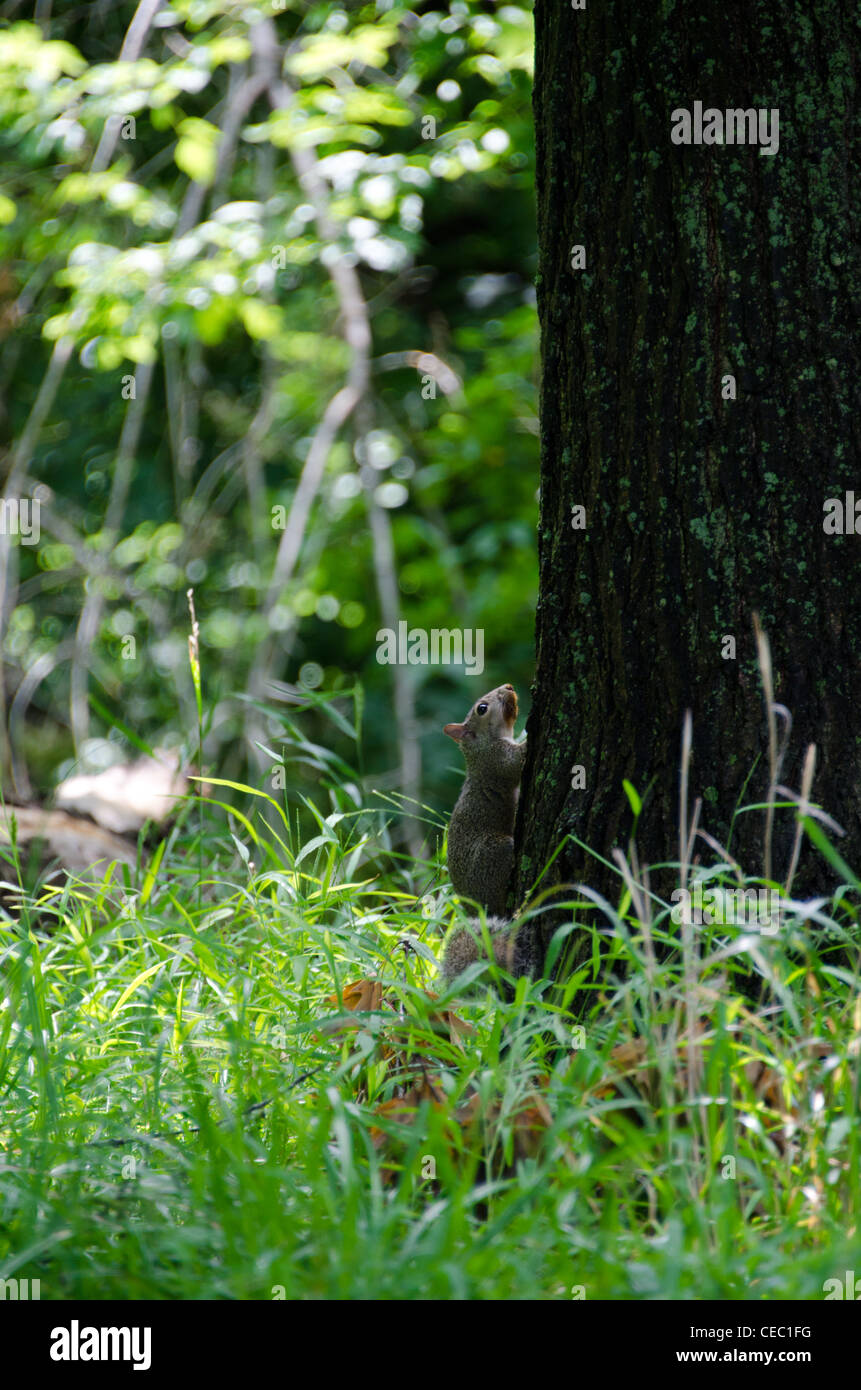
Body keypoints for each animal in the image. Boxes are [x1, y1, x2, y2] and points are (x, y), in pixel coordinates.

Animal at [439, 683, 542, 986]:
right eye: (481, 708)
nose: (508, 686)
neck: (479, 749)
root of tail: (477, 910)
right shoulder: (499, 760)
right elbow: (519, 759)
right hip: (496, 850)